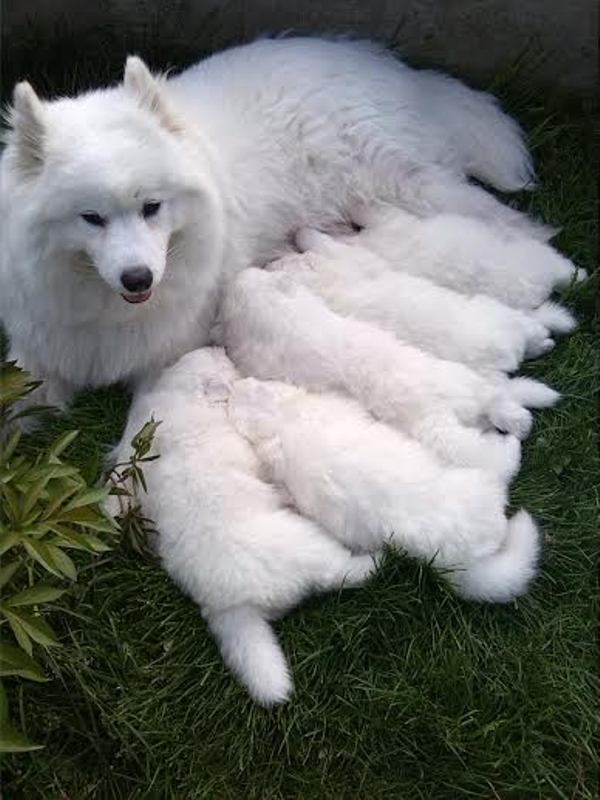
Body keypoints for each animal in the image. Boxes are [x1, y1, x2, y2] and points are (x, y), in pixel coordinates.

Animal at [0, 36, 544, 406]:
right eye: (91, 218)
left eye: (152, 207)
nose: (139, 278)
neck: (103, 311)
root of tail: (400, 72)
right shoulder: (39, 360)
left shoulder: (168, 358)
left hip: (417, 192)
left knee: (516, 226)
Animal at [107, 350, 378, 708]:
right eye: (218, 359)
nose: (220, 347)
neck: (182, 399)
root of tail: (238, 604)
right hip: (311, 546)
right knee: (343, 572)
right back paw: (375, 560)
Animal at [223, 268, 560, 478]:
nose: (241, 274)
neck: (278, 314)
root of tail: (462, 407)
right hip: (470, 386)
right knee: (506, 402)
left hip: (442, 428)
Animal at [268, 228, 576, 372]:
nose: (271, 261)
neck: (328, 280)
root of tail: (507, 348)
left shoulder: (353, 260)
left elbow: (324, 242)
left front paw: (303, 234)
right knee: (535, 334)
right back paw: (545, 341)